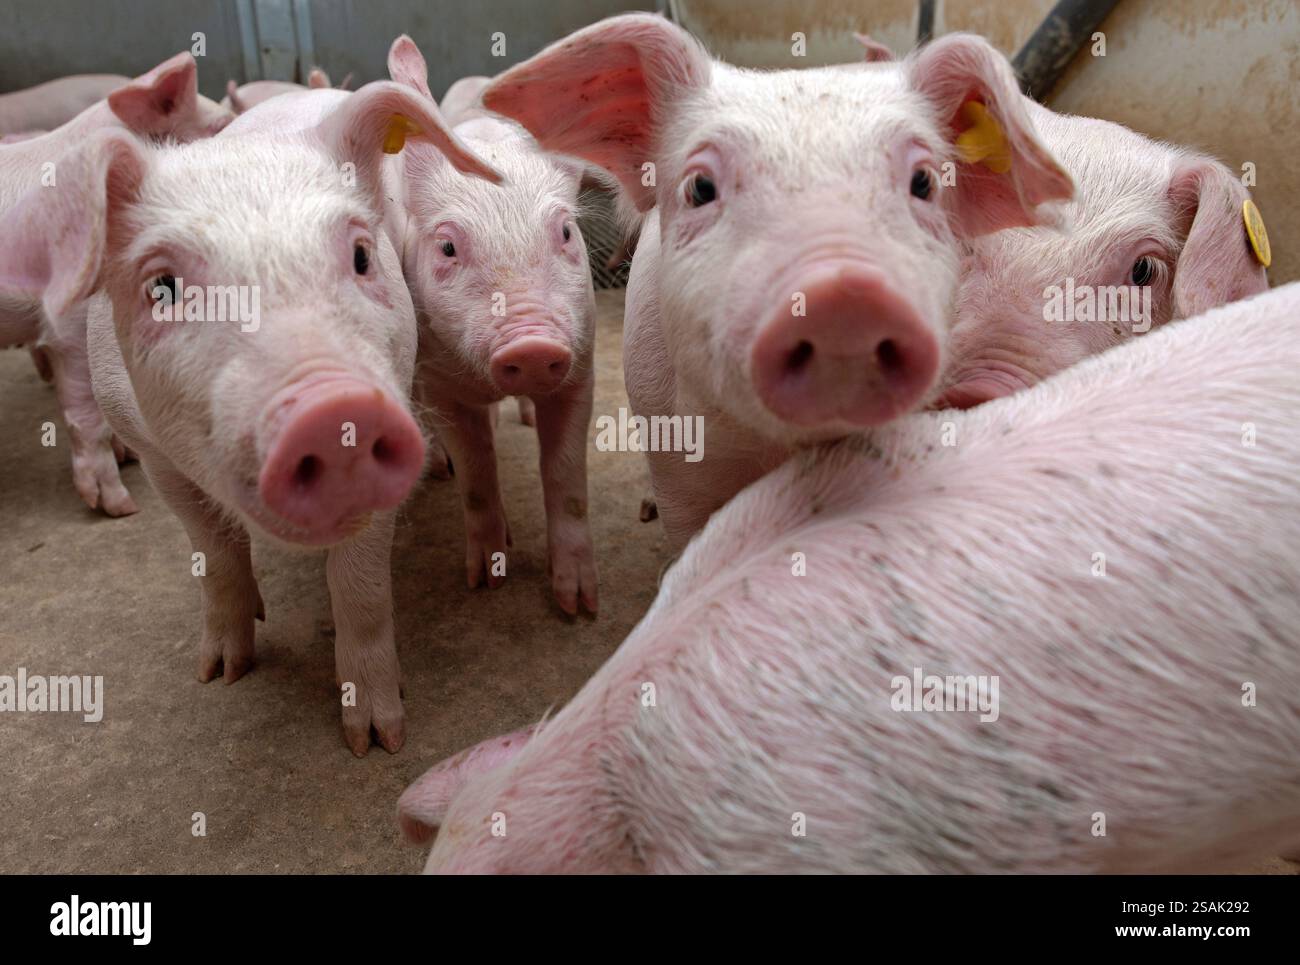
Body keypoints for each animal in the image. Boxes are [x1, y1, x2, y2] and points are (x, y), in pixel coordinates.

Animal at [386, 36, 599, 615]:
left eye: (566, 232)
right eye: (447, 246)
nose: (530, 346)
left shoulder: (580, 365)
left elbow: (566, 476)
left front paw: (579, 607)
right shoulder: (439, 381)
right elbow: (477, 472)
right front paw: (486, 579)